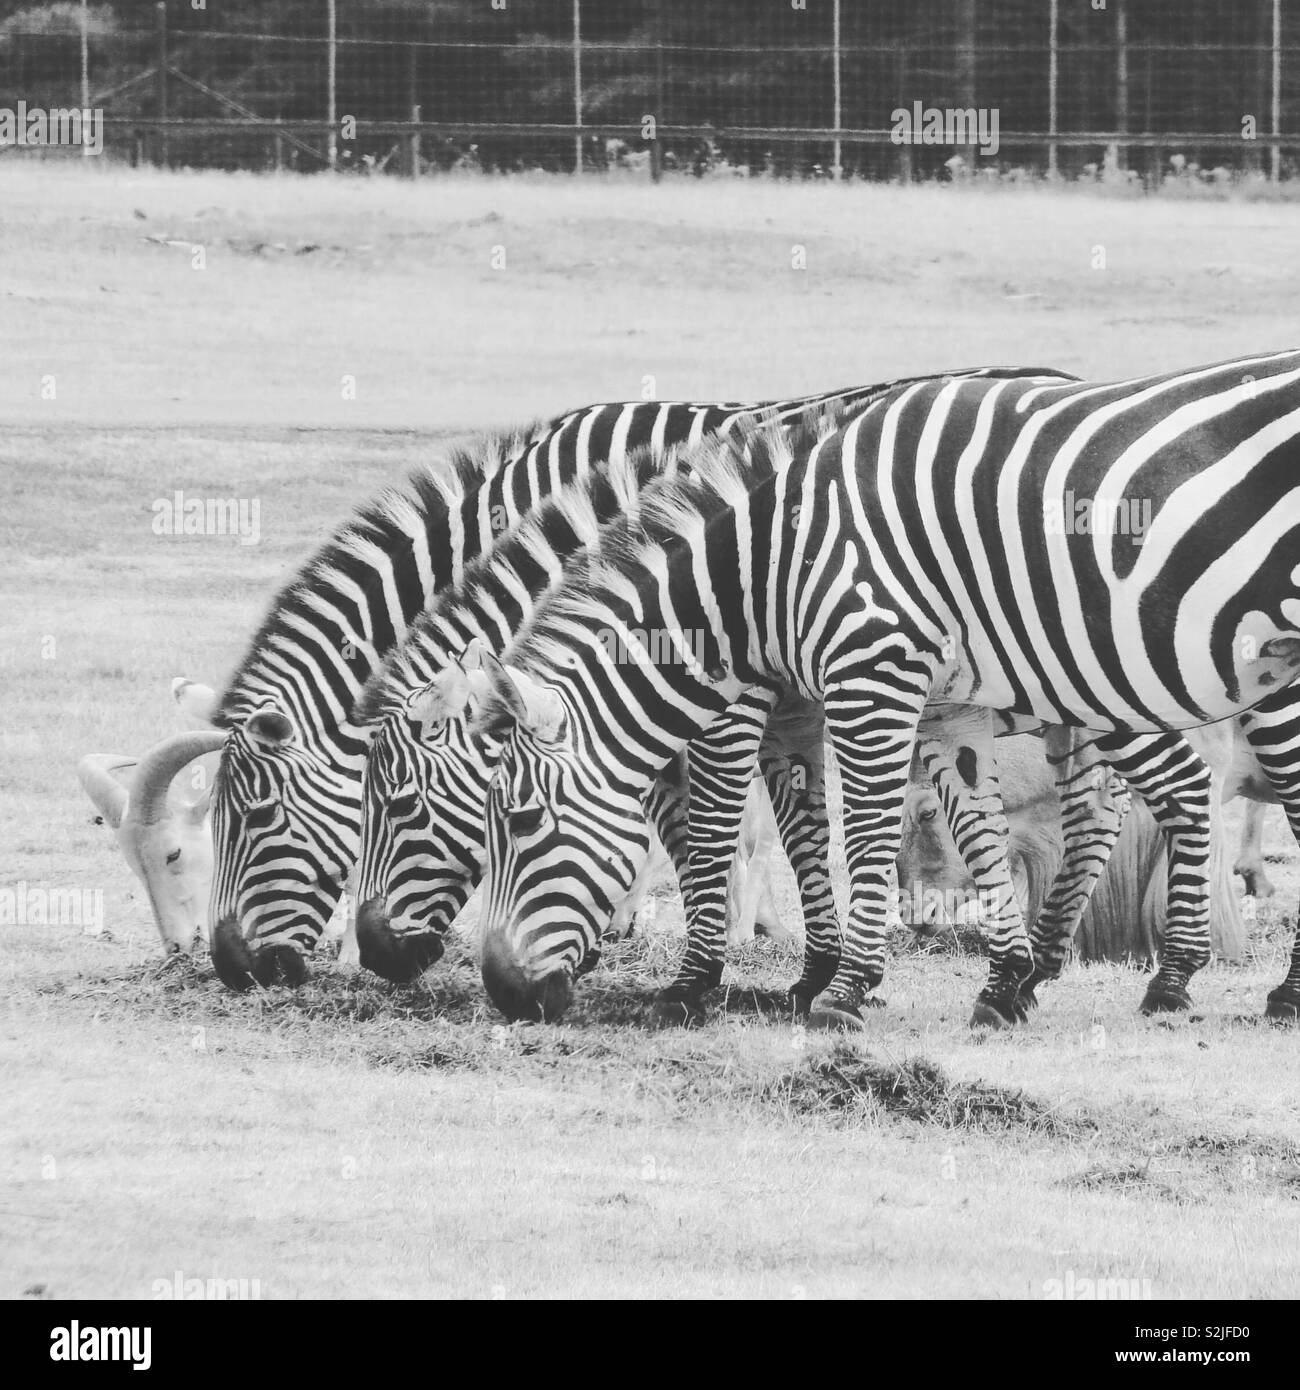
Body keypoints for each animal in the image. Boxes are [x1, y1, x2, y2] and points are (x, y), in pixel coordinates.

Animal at [469, 349, 1300, 1027]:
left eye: (519, 823)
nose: (505, 996)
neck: (769, 568)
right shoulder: (930, 702)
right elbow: (939, 823)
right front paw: (995, 985)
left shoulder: (854, 679)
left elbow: (779, 824)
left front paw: (796, 987)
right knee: (1121, 800)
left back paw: (1233, 984)